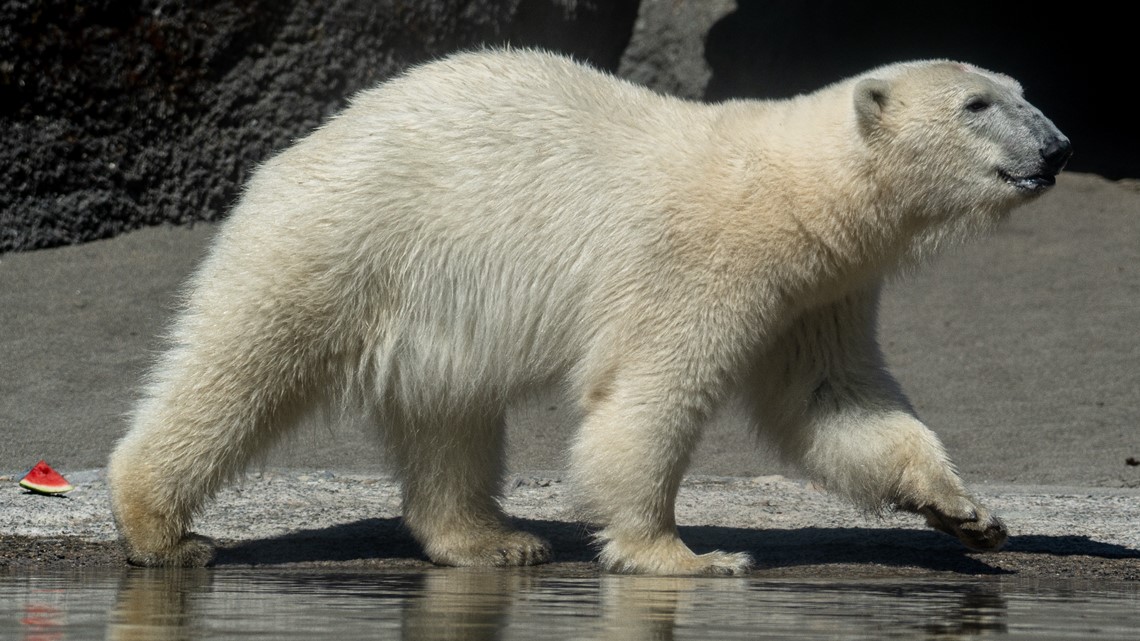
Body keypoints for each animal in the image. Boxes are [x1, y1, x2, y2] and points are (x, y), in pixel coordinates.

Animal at [107, 48, 1070, 575]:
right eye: (976, 104)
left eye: (1023, 90)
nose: (1059, 146)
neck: (791, 192)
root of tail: (303, 146)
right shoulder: (700, 262)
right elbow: (649, 397)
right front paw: (683, 555)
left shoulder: (821, 289)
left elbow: (832, 399)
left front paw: (967, 512)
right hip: (339, 243)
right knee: (241, 364)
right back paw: (159, 525)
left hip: (428, 303)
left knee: (448, 415)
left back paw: (492, 539)